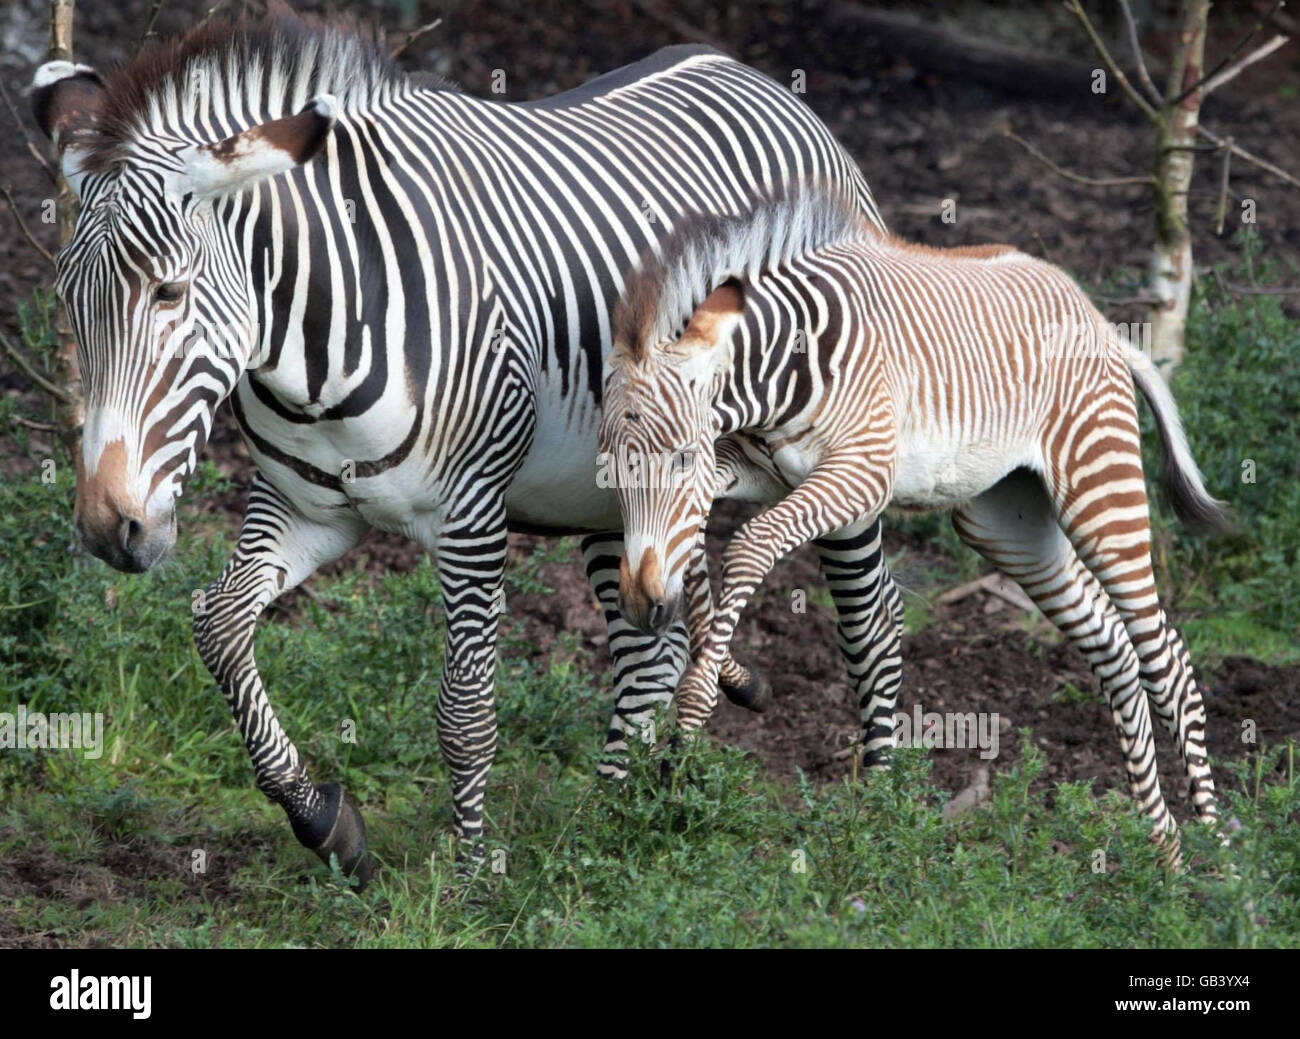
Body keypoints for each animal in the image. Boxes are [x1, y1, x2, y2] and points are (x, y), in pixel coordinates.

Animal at [30, 9, 904, 886]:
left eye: (169, 291)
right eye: (66, 294)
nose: (108, 528)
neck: (311, 349)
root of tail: (757, 79)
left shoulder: (471, 518)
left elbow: (466, 705)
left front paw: (474, 876)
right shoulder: (306, 507)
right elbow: (216, 623)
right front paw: (323, 819)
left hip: (841, 445)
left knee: (875, 614)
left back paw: (875, 814)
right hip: (613, 491)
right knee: (650, 648)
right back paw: (615, 822)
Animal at [600, 187, 1232, 860]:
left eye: (680, 457)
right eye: (607, 465)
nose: (638, 603)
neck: (783, 369)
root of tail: (1100, 321)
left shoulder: (861, 470)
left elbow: (749, 542)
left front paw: (693, 717)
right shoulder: (752, 468)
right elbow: (688, 543)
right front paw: (717, 687)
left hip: (1099, 489)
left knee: (1165, 657)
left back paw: (1218, 855)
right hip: (1007, 522)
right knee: (1115, 647)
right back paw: (1162, 849)